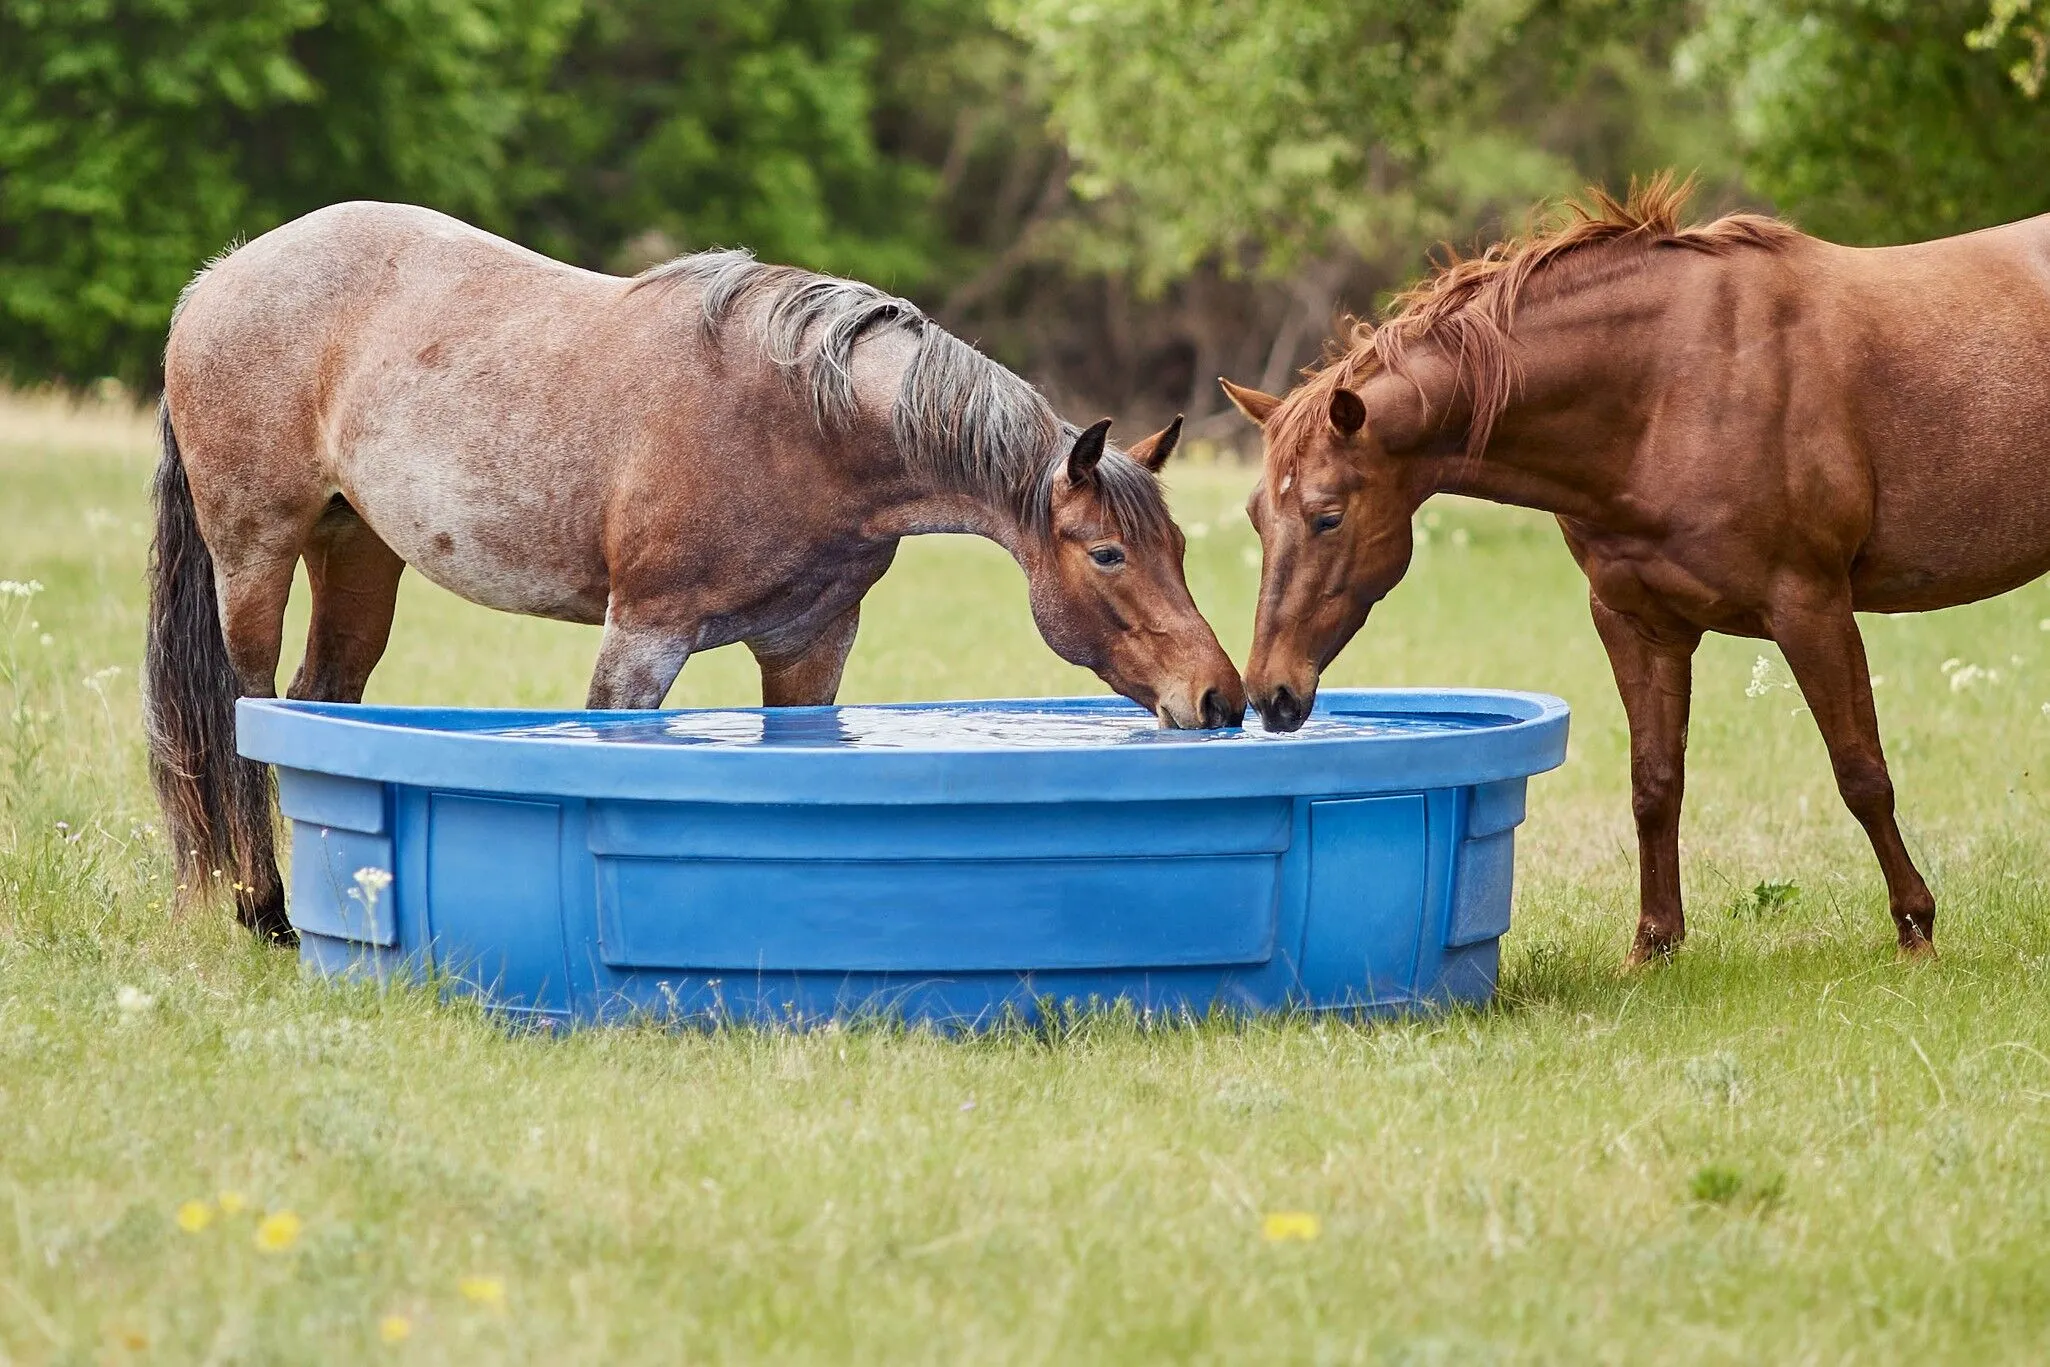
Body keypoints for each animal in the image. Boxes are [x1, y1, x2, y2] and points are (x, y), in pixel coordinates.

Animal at [146, 202, 1245, 941]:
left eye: (1182, 549)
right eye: (1107, 553)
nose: (1220, 697)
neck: (809, 427)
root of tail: (220, 276)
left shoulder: (811, 647)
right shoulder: (644, 636)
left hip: (358, 550)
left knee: (316, 700)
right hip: (255, 549)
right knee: (244, 706)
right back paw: (265, 910)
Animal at [1221, 174, 2050, 964]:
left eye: (1328, 516)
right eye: (1257, 515)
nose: (1270, 693)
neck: (1671, 387)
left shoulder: (1811, 607)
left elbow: (1861, 774)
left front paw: (1916, 930)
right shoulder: (1637, 622)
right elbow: (1654, 784)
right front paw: (1654, 943)